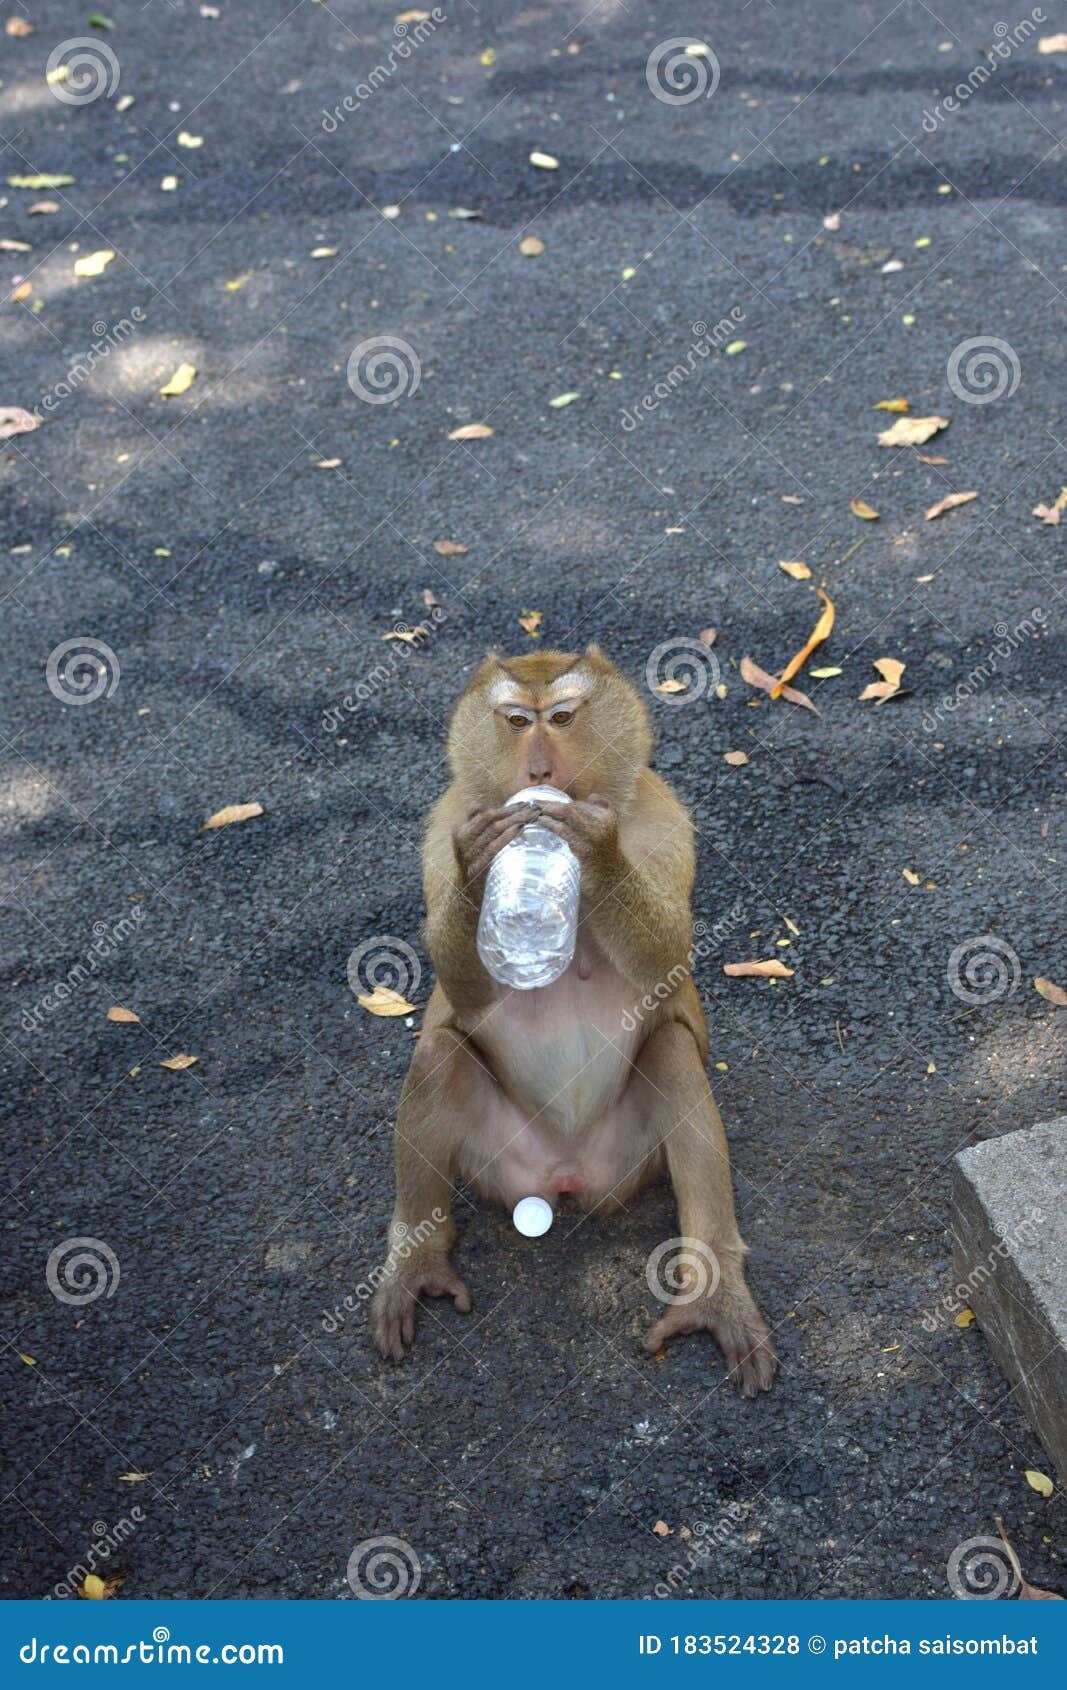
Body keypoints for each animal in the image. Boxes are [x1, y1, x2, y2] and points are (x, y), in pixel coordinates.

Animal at [369, 644, 776, 1396]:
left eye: (559, 718)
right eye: (514, 721)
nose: (538, 775)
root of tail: (562, 1175)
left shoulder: (662, 817)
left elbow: (668, 955)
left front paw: (597, 849)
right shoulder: (444, 823)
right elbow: (461, 990)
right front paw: (480, 866)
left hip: (628, 1162)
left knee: (672, 1051)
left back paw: (712, 1289)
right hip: (498, 1161)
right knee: (438, 1056)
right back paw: (417, 1255)